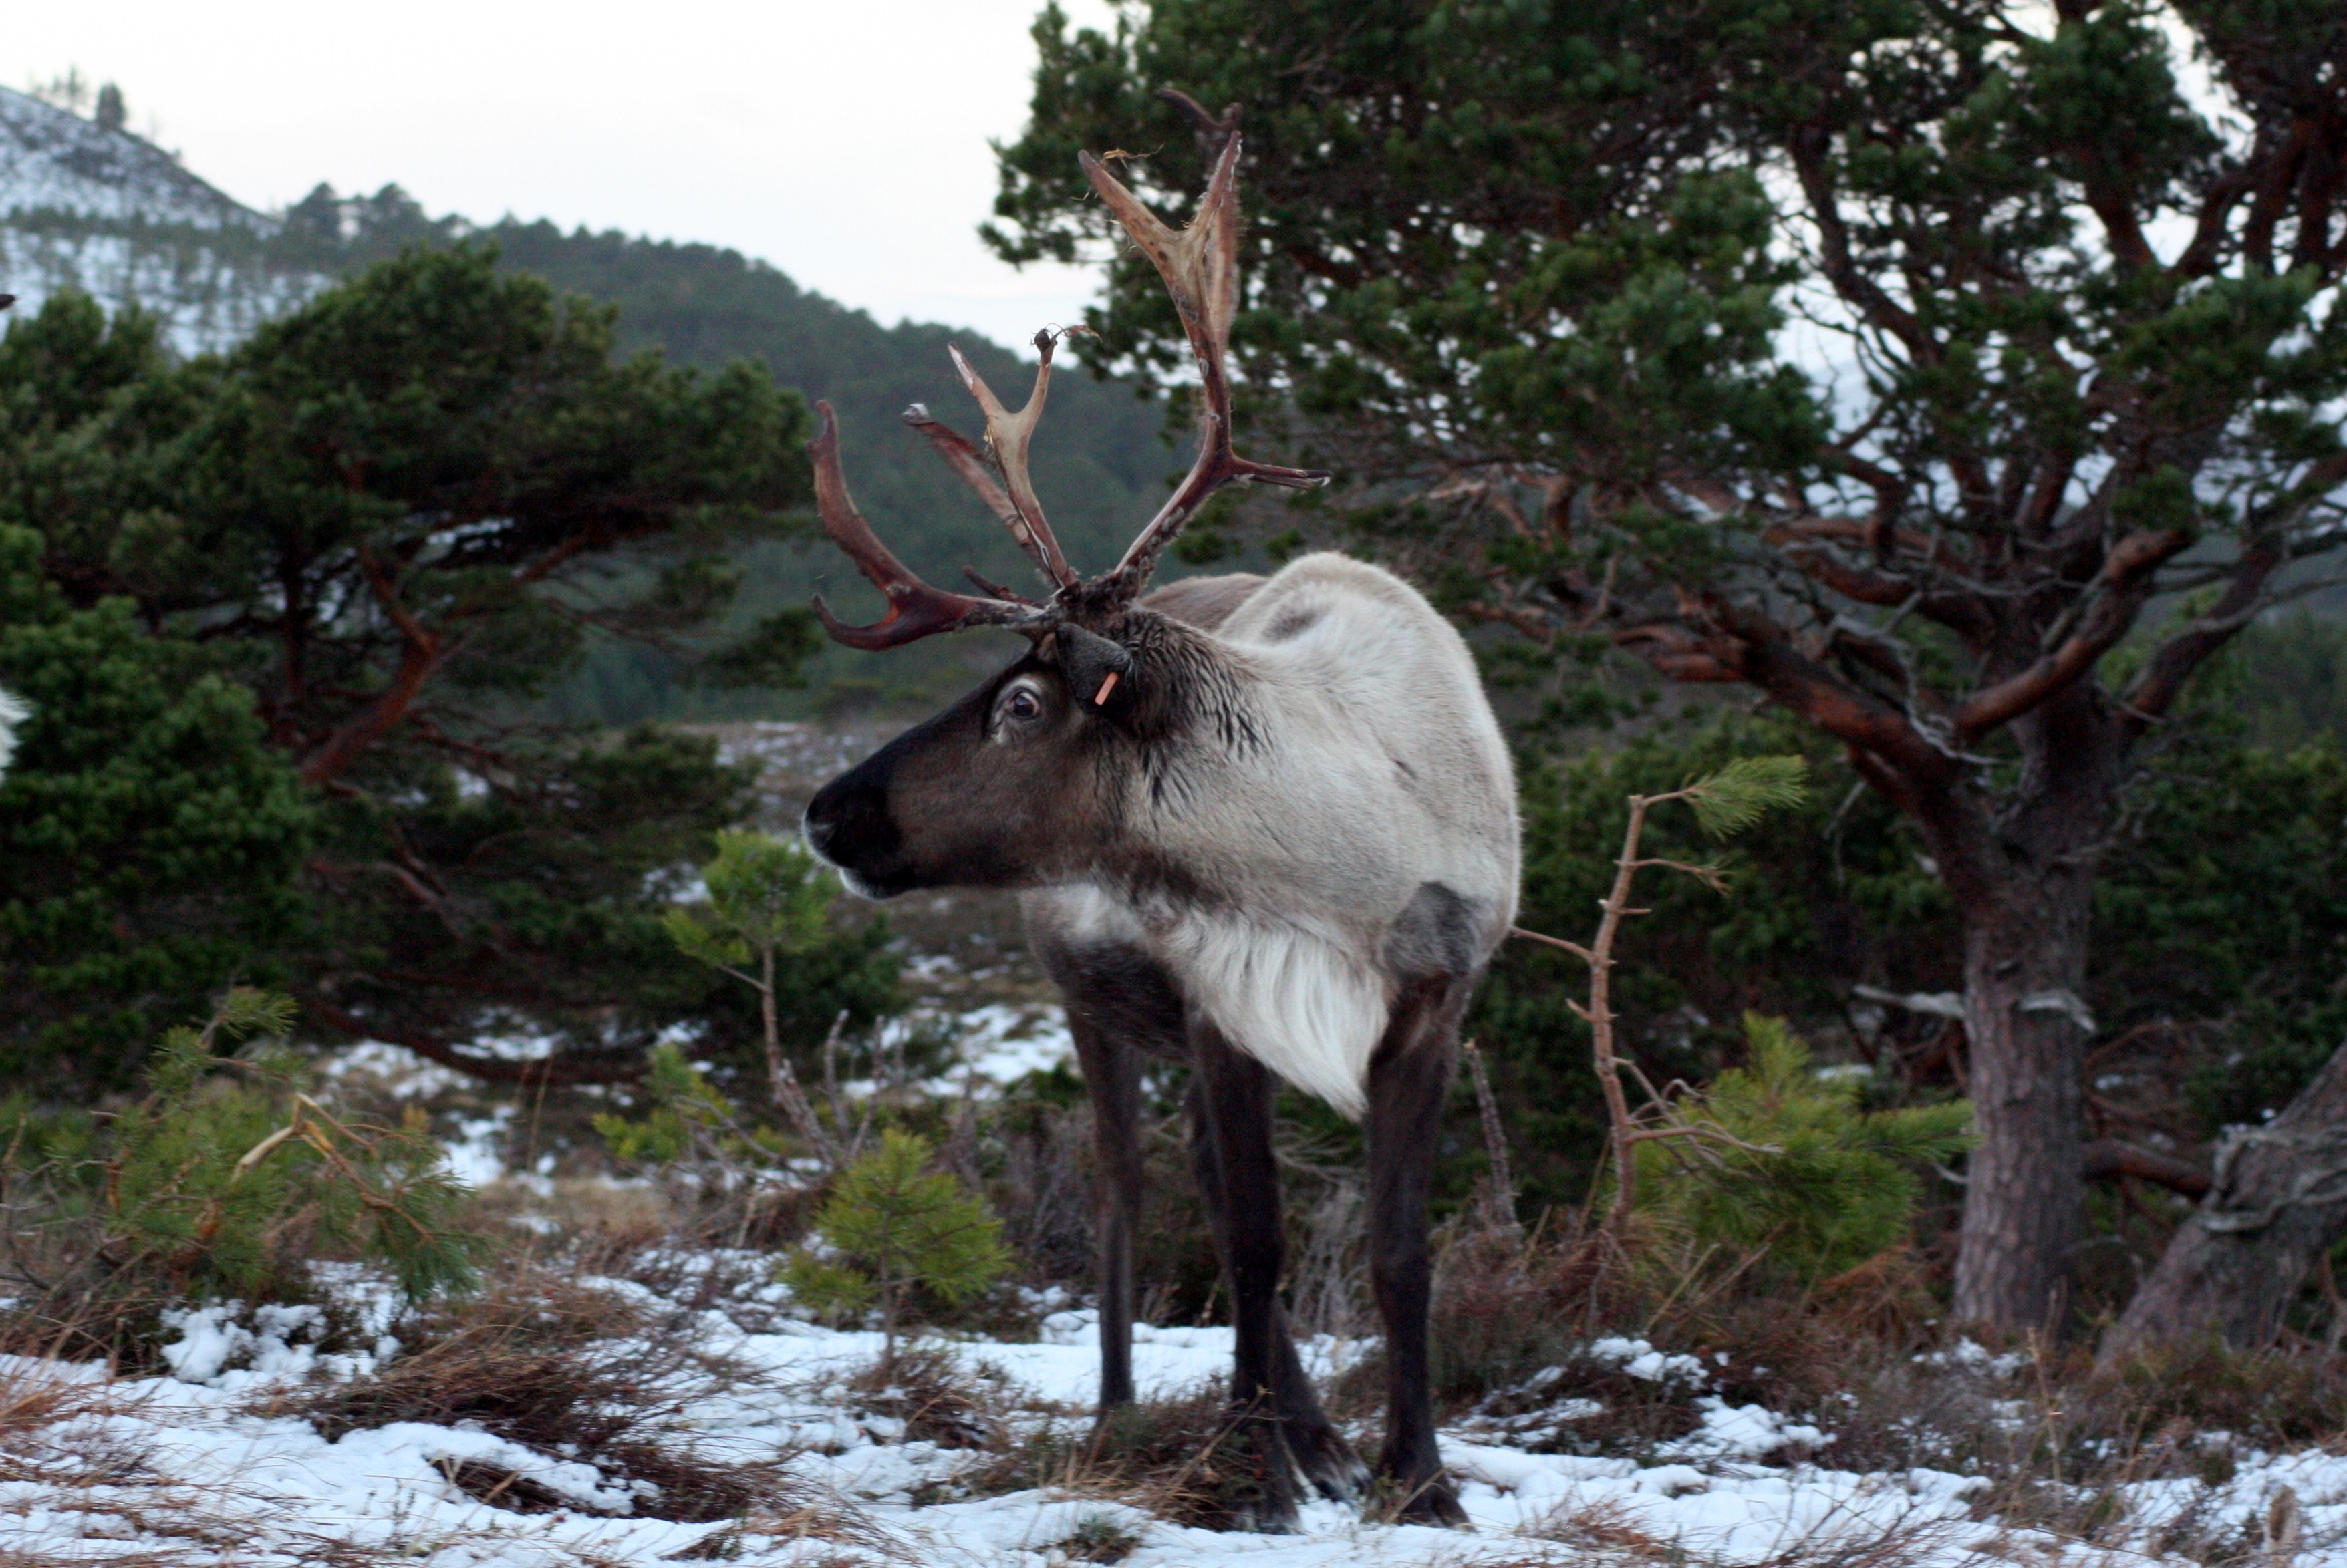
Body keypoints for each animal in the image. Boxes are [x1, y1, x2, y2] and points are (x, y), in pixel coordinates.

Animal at [799, 135, 1518, 1529]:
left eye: (1020, 705)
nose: (825, 809)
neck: (1348, 866)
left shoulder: (1436, 1002)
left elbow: (1398, 1251)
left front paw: (1418, 1473)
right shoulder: (1221, 1000)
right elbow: (1251, 1237)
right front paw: (1256, 1467)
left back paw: (1317, 1434)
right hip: (1091, 1003)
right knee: (1129, 1187)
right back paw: (1129, 1411)